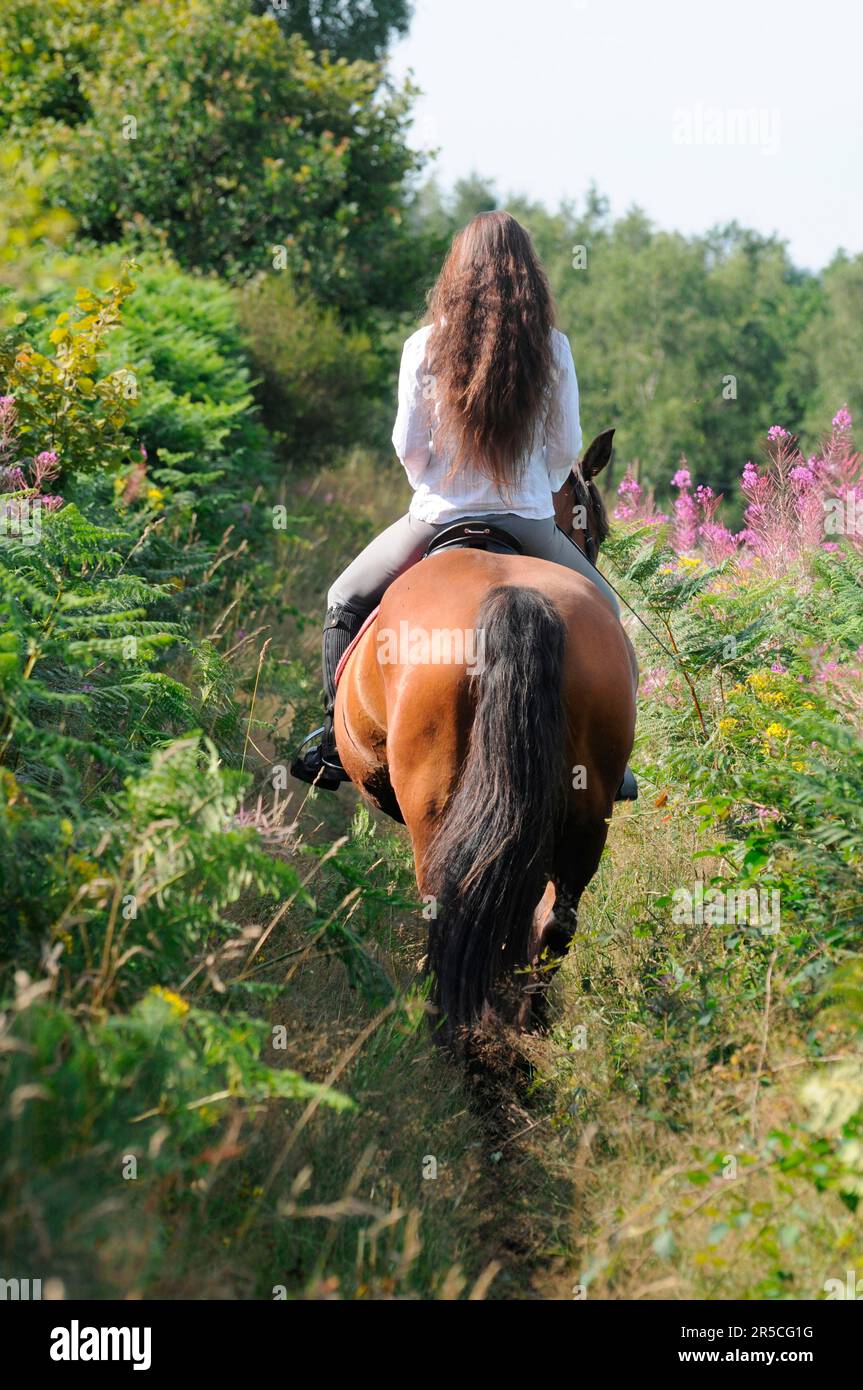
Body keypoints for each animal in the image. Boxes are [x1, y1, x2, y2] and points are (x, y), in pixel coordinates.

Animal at [333, 429, 637, 1045]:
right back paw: (526, 1027)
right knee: (557, 921)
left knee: (446, 907)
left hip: (434, 806)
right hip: (589, 808)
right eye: (596, 530)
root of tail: (514, 600)